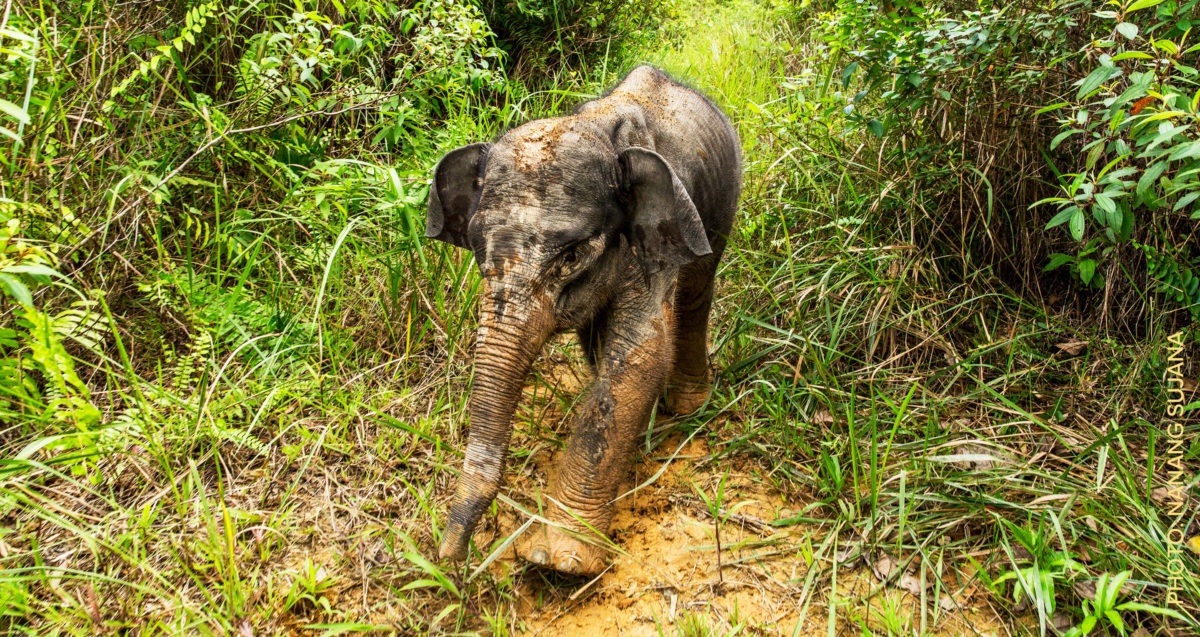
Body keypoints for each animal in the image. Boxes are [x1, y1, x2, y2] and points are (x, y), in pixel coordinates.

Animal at [425, 65, 741, 576]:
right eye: (474, 248)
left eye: (571, 256)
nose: (447, 556)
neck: (597, 130)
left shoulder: (650, 241)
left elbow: (639, 357)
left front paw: (558, 561)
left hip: (723, 199)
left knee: (697, 290)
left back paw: (687, 408)